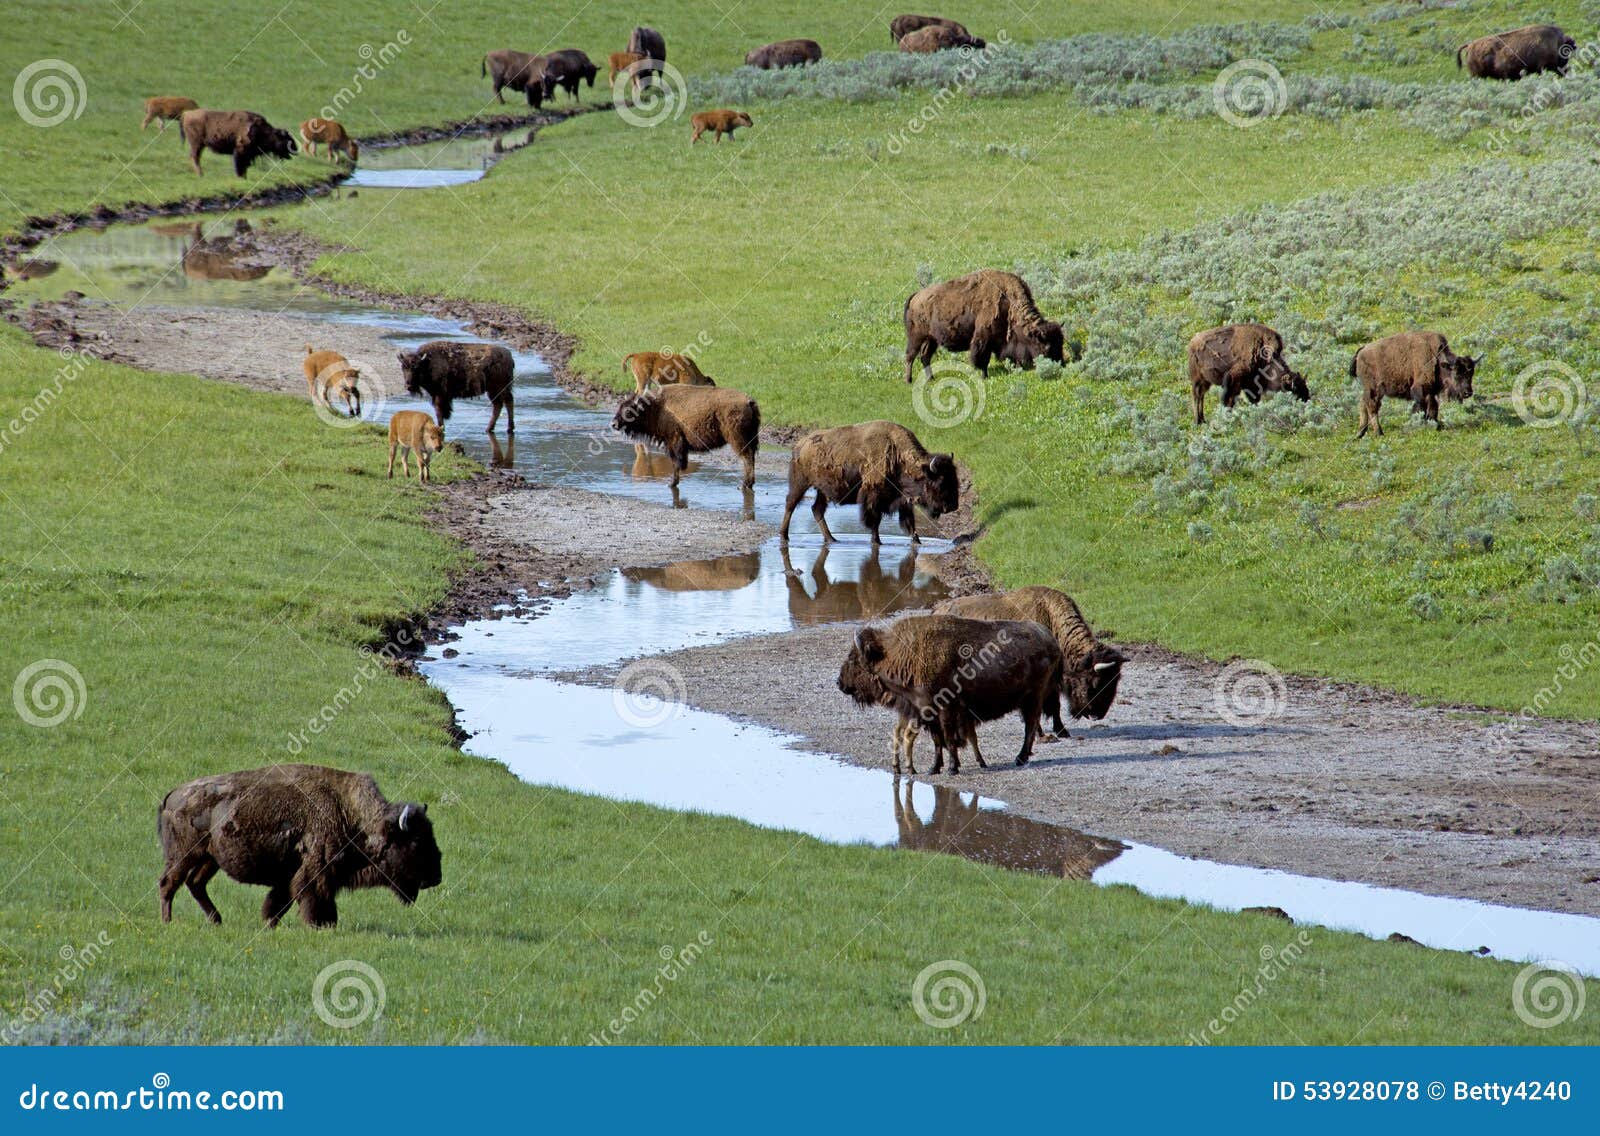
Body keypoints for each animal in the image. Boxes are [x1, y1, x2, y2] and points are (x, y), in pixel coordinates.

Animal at [157, 764, 441, 928]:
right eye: (416, 841)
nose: (436, 878)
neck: (353, 815)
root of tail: (172, 795)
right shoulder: (315, 874)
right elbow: (313, 901)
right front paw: (319, 925)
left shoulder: (290, 878)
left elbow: (276, 904)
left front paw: (270, 925)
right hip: (185, 855)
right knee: (169, 883)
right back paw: (168, 921)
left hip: (209, 859)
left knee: (195, 884)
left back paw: (216, 920)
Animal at [781, 420, 958, 546]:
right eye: (941, 482)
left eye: (955, 479)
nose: (952, 506)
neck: (898, 455)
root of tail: (800, 444)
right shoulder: (873, 496)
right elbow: (874, 520)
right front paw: (877, 541)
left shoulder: (903, 500)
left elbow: (910, 524)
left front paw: (917, 542)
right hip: (800, 483)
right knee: (791, 504)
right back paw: (784, 536)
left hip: (822, 490)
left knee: (817, 509)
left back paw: (832, 539)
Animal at [904, 269, 1063, 381]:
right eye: (1046, 347)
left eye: (1061, 343)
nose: (1061, 364)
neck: (1009, 303)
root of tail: (916, 296)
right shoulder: (983, 338)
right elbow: (981, 358)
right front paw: (984, 376)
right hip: (916, 338)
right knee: (910, 356)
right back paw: (909, 380)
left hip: (931, 339)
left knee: (925, 356)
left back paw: (930, 378)